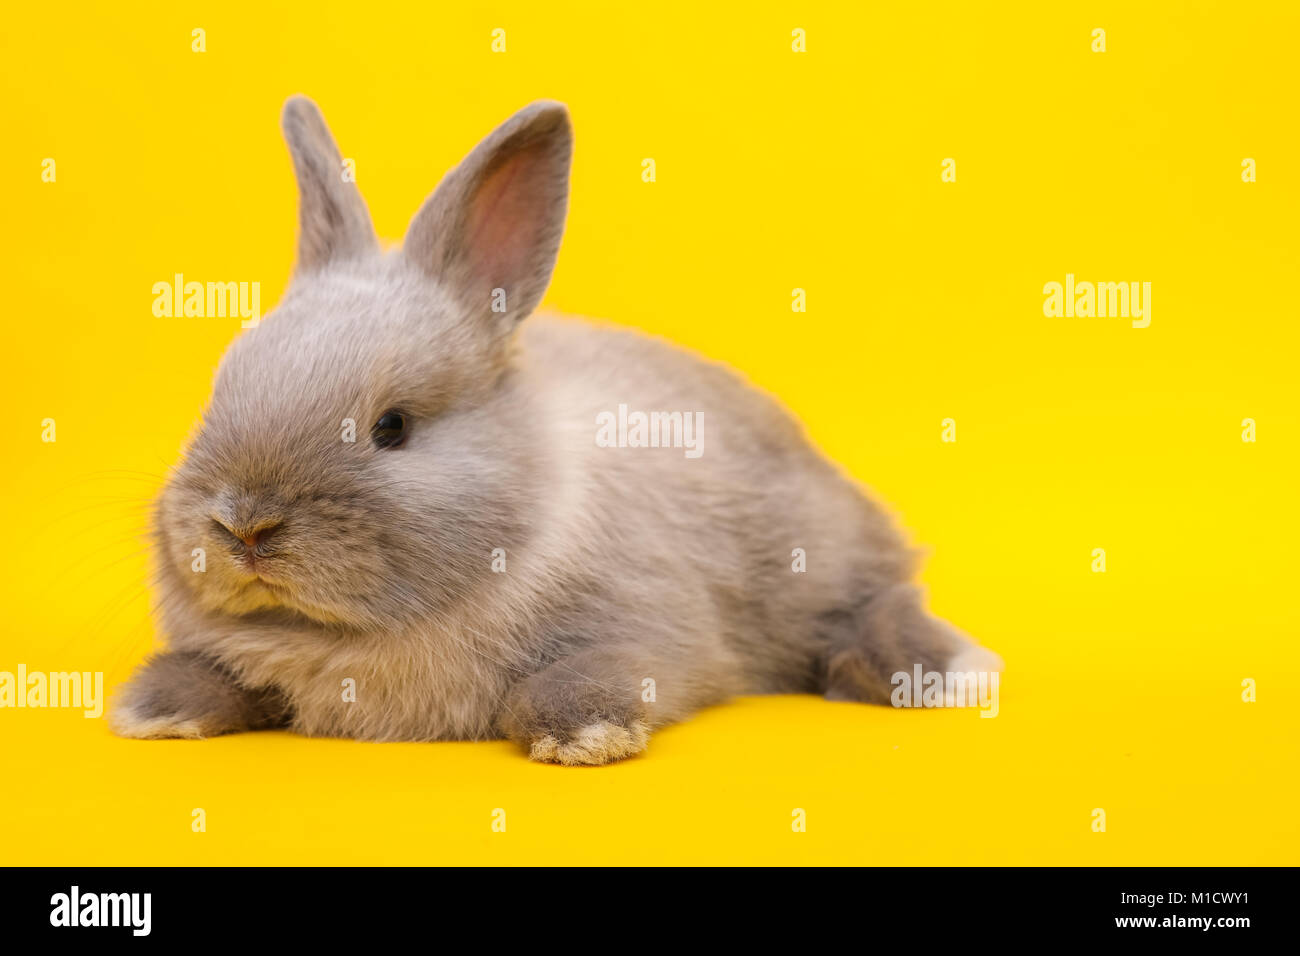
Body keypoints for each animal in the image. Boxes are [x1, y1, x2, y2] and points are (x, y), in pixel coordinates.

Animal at [110, 95, 1002, 765]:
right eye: (220, 388)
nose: (243, 526)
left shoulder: (653, 633)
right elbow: (216, 674)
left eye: (392, 427)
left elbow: (590, 675)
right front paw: (154, 708)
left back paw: (948, 672)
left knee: (878, 605)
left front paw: (583, 735)